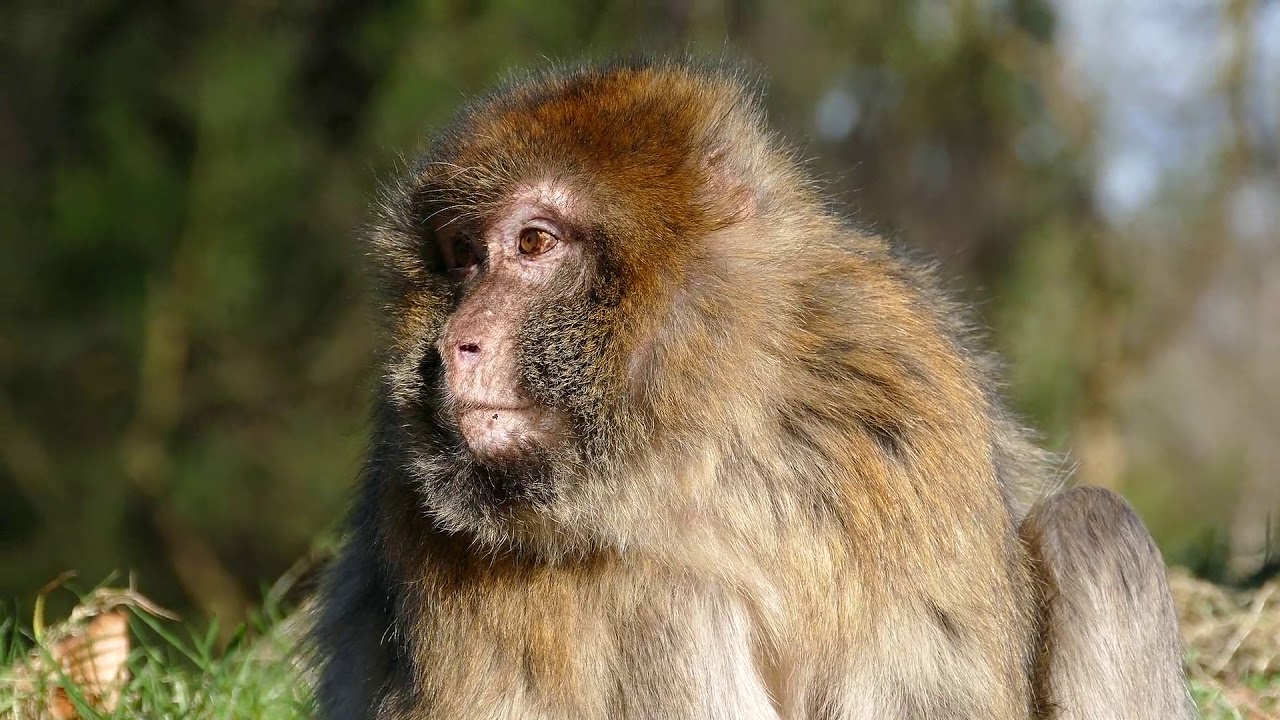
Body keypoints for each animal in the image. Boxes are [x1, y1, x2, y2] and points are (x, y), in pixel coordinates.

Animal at [309, 57, 1195, 719]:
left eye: (533, 243)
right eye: (463, 257)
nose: (454, 345)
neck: (690, 446)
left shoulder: (900, 398)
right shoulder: (415, 505)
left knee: (1095, 526)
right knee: (667, 597)